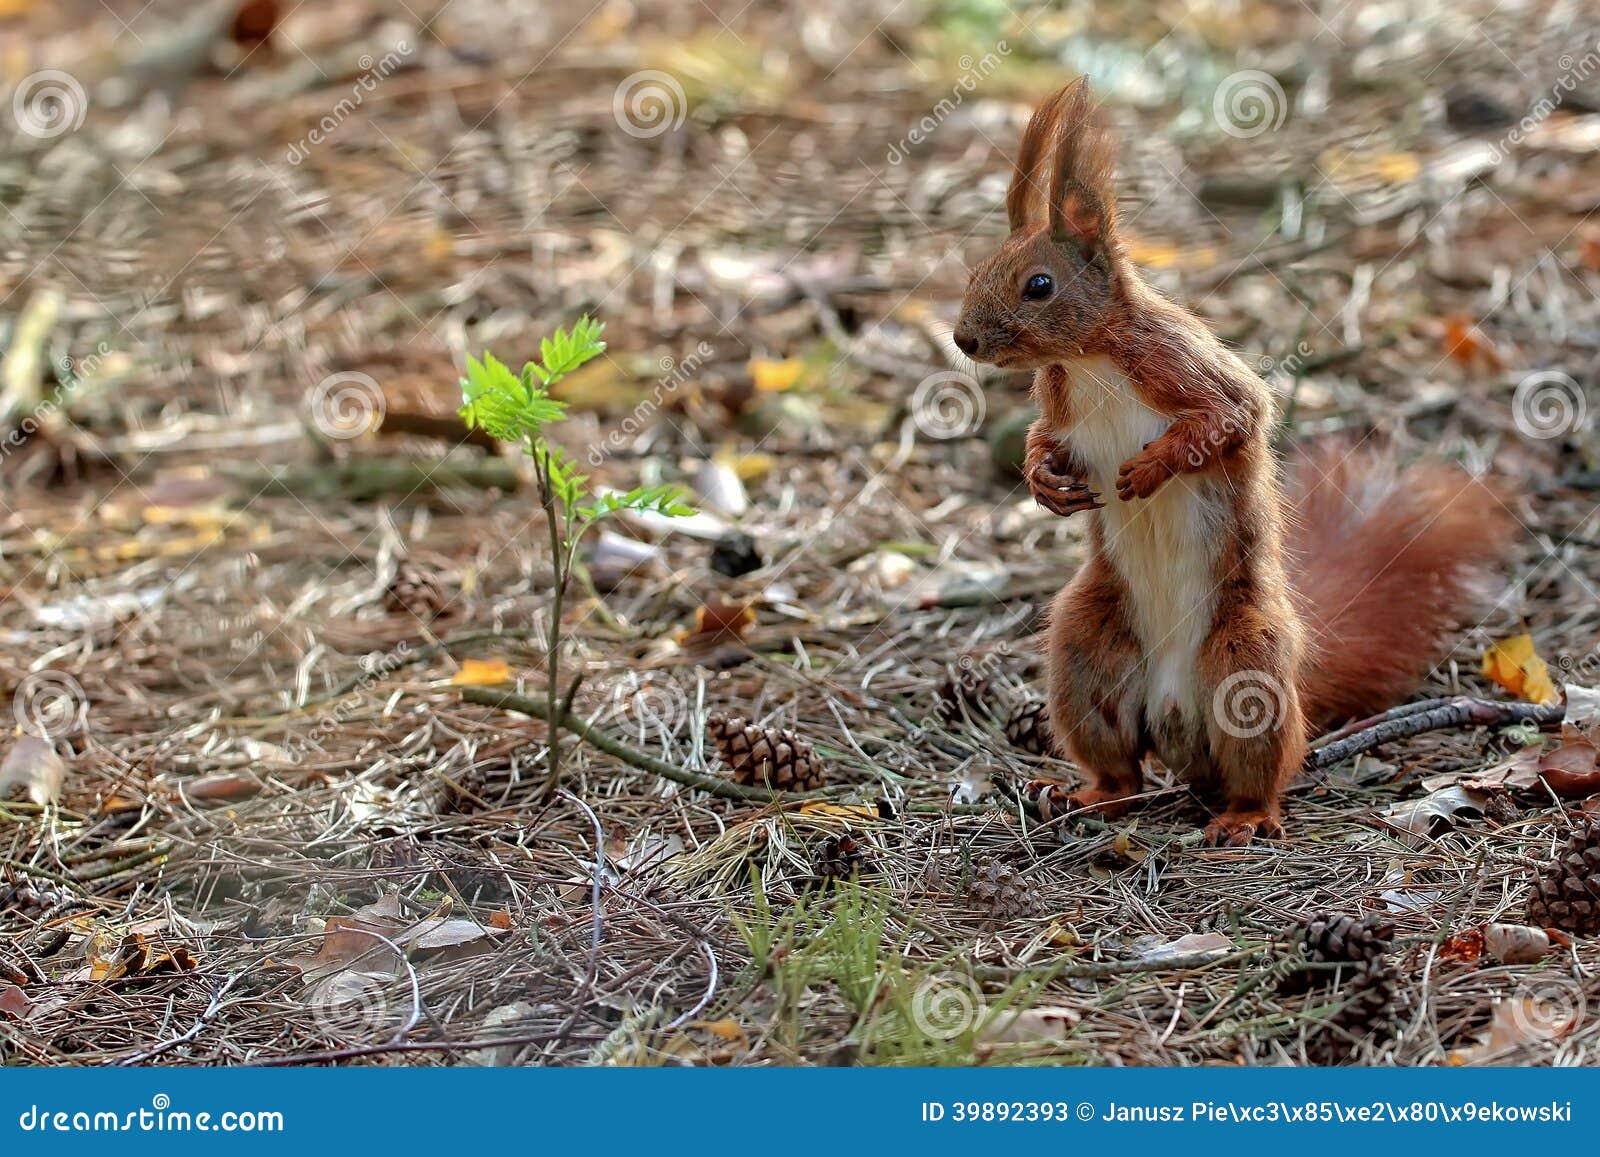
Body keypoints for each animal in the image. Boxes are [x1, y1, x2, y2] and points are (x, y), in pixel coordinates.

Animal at [952, 78, 1515, 845]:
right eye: (977, 271)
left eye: (1038, 285)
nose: (964, 340)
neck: (1091, 360)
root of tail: (1173, 719)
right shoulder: (1060, 404)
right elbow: (1047, 441)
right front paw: (1045, 482)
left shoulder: (1182, 365)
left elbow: (1232, 416)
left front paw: (1153, 468)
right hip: (1087, 648)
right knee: (1120, 764)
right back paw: (1086, 793)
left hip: (1247, 660)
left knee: (1259, 767)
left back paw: (1243, 818)